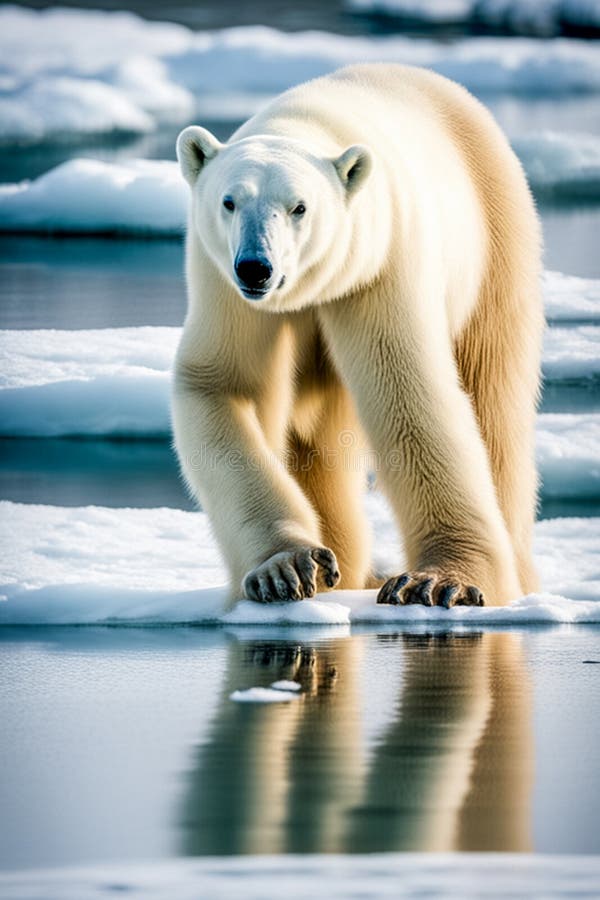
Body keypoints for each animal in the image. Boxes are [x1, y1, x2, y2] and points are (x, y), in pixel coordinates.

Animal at [172, 63, 543, 609]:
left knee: (494, 400)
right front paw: (285, 567)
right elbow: (224, 386)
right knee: (316, 441)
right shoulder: (227, 292)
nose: (257, 267)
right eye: (230, 201)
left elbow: (410, 397)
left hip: (494, 237)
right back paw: (346, 569)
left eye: (299, 207)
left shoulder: (378, 270)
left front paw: (436, 581)